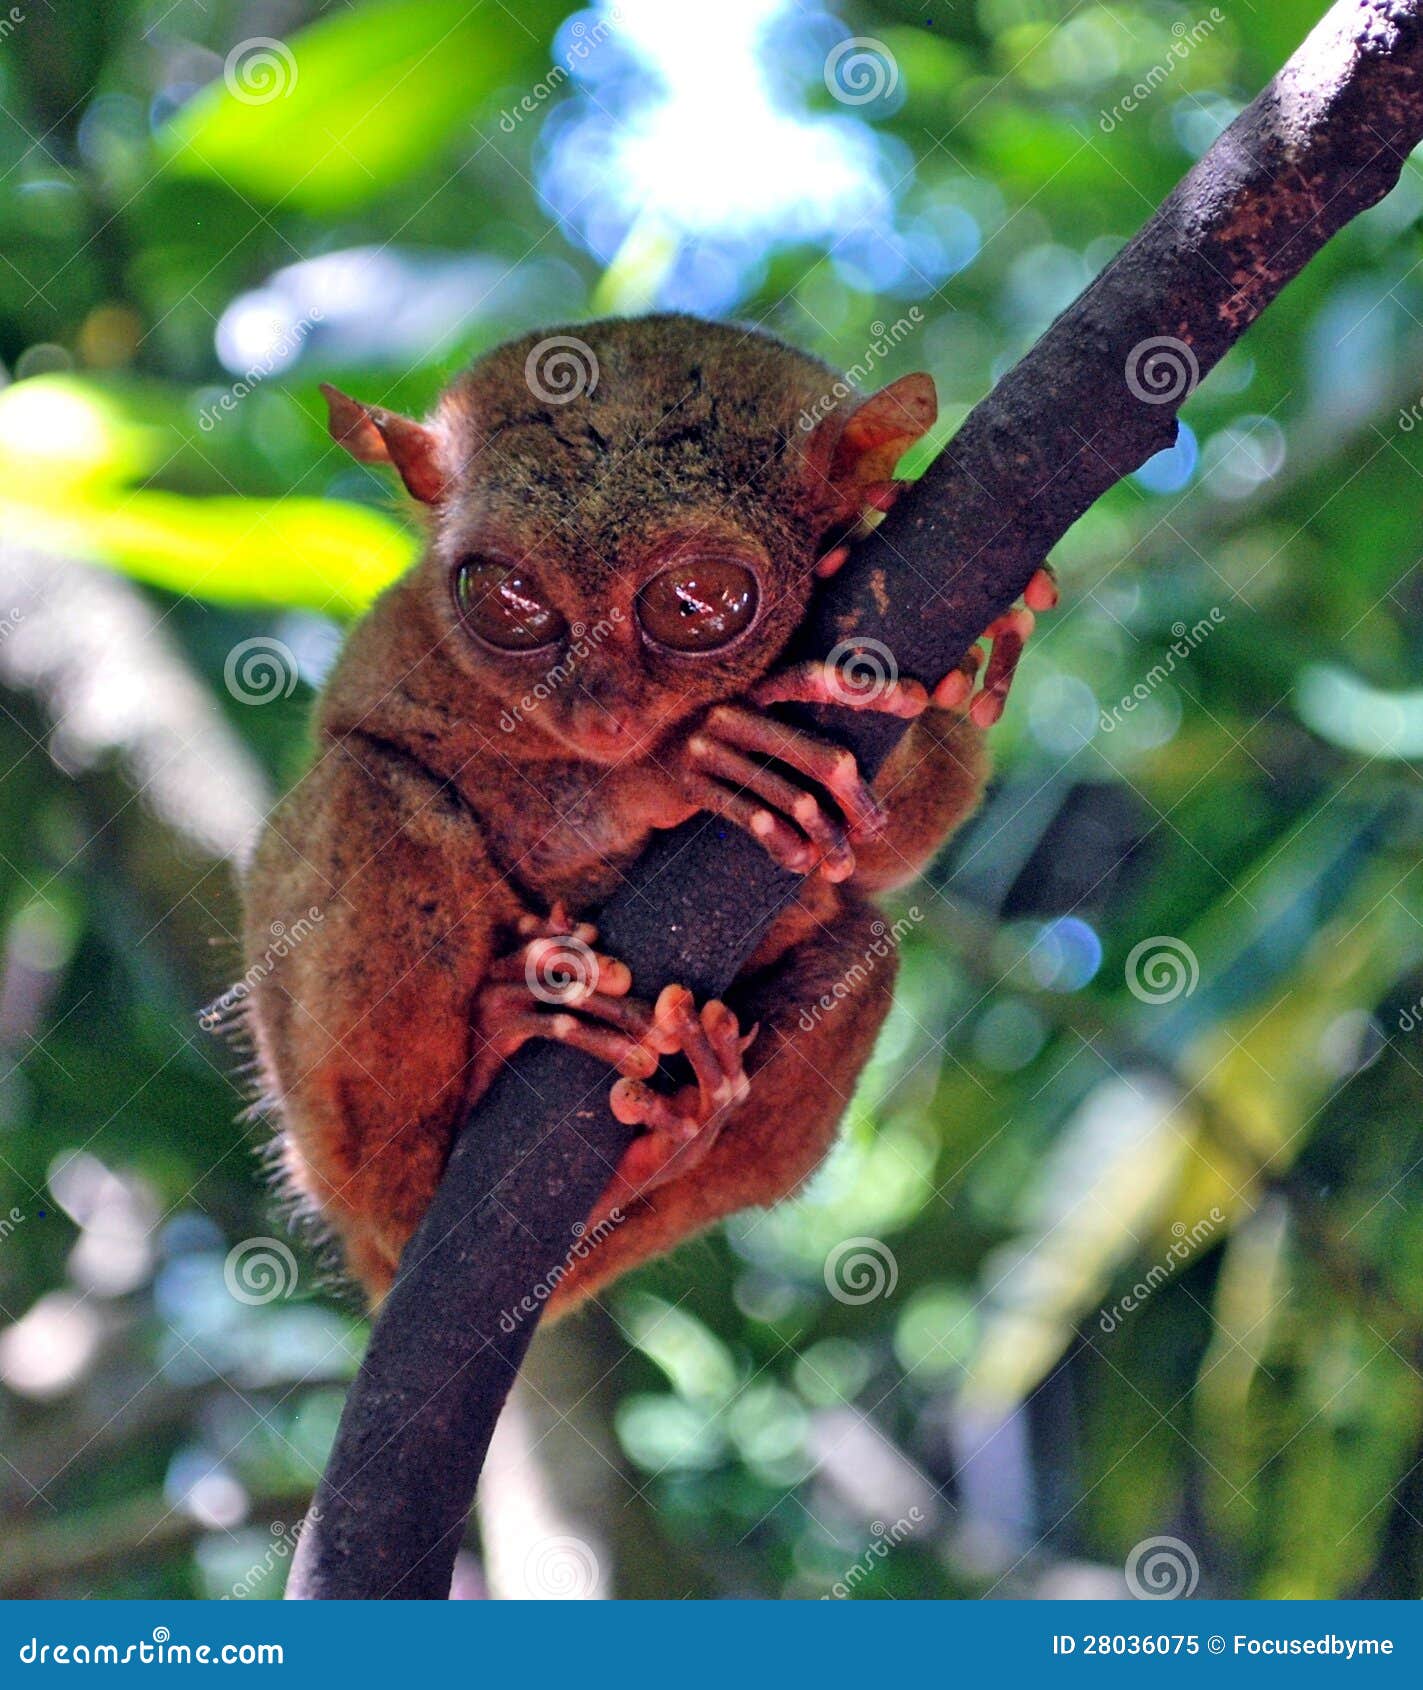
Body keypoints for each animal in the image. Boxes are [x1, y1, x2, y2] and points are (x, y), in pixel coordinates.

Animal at [240, 313, 1054, 1315]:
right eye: (507, 601)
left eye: (695, 602)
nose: (602, 717)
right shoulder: (402, 652)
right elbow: (405, 748)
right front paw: (687, 762)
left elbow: (900, 836)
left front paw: (979, 625)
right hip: (326, 1138)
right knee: (371, 787)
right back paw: (491, 1051)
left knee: (863, 950)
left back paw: (674, 1128)